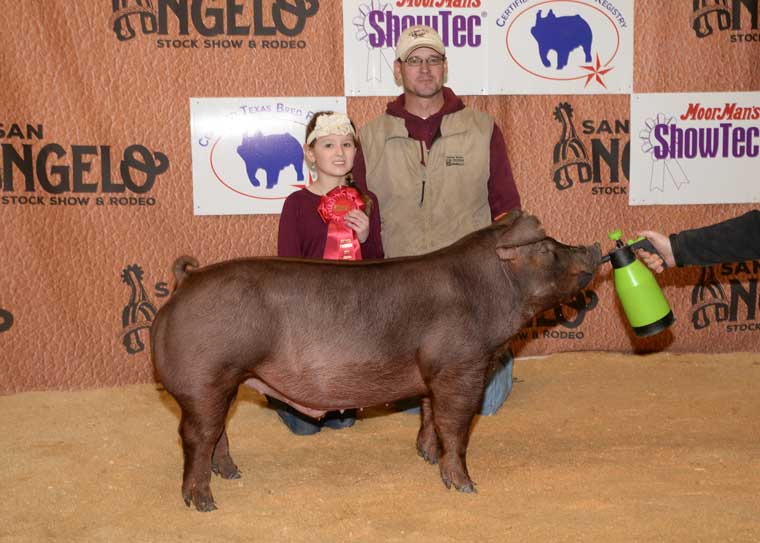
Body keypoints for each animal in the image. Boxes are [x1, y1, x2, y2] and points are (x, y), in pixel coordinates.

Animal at [151, 210, 601, 511]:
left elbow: (428, 414)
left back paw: (232, 474)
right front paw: (466, 486)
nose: (594, 246)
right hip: (205, 377)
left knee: (216, 433)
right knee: (195, 435)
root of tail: (186, 280)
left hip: (223, 381)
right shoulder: (461, 366)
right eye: (546, 248)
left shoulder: (432, 372)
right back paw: (203, 502)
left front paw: (425, 456)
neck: (489, 290)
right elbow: (455, 426)